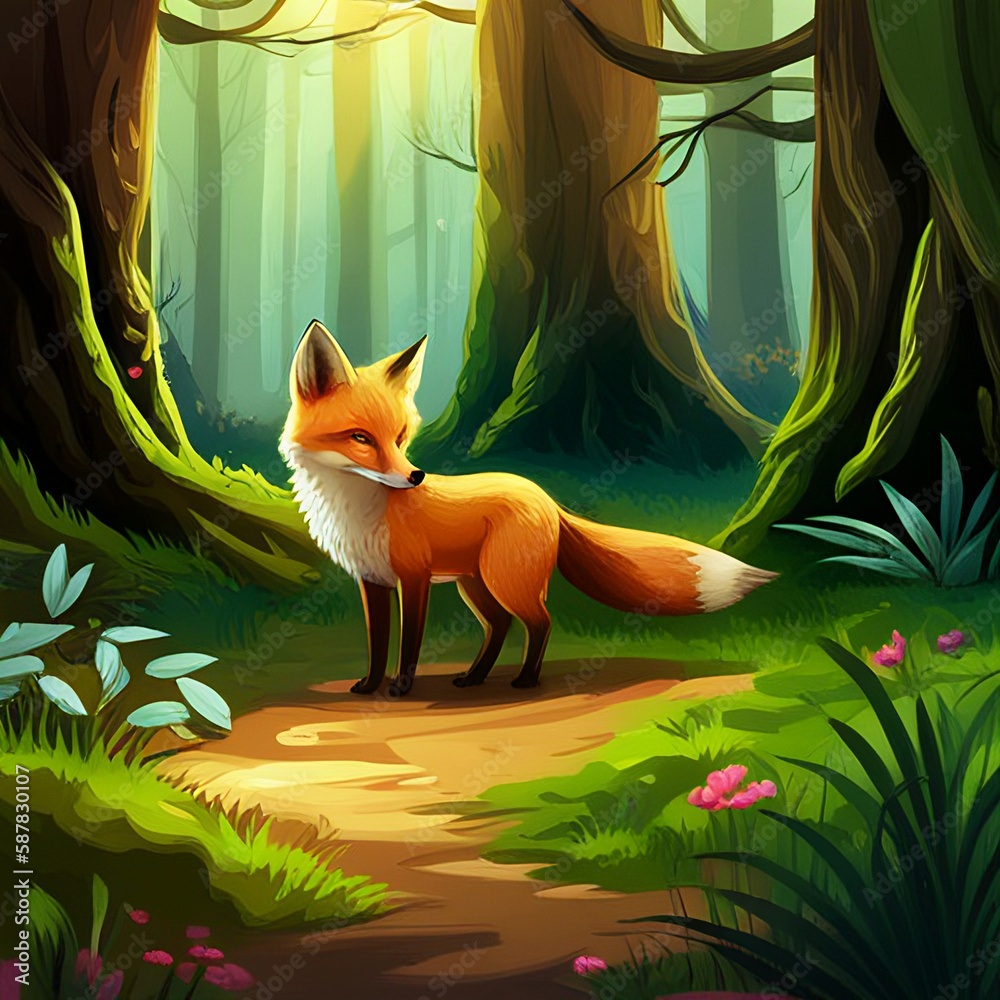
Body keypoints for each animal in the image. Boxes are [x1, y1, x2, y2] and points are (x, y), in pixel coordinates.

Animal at [280, 320, 777, 697]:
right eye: (361, 438)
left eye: (401, 436)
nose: (415, 476)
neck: (358, 507)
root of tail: (545, 497)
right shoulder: (372, 581)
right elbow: (377, 643)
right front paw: (368, 686)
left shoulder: (414, 577)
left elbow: (409, 645)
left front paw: (401, 688)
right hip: (475, 582)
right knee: (501, 625)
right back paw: (475, 677)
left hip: (504, 579)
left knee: (540, 622)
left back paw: (525, 680)